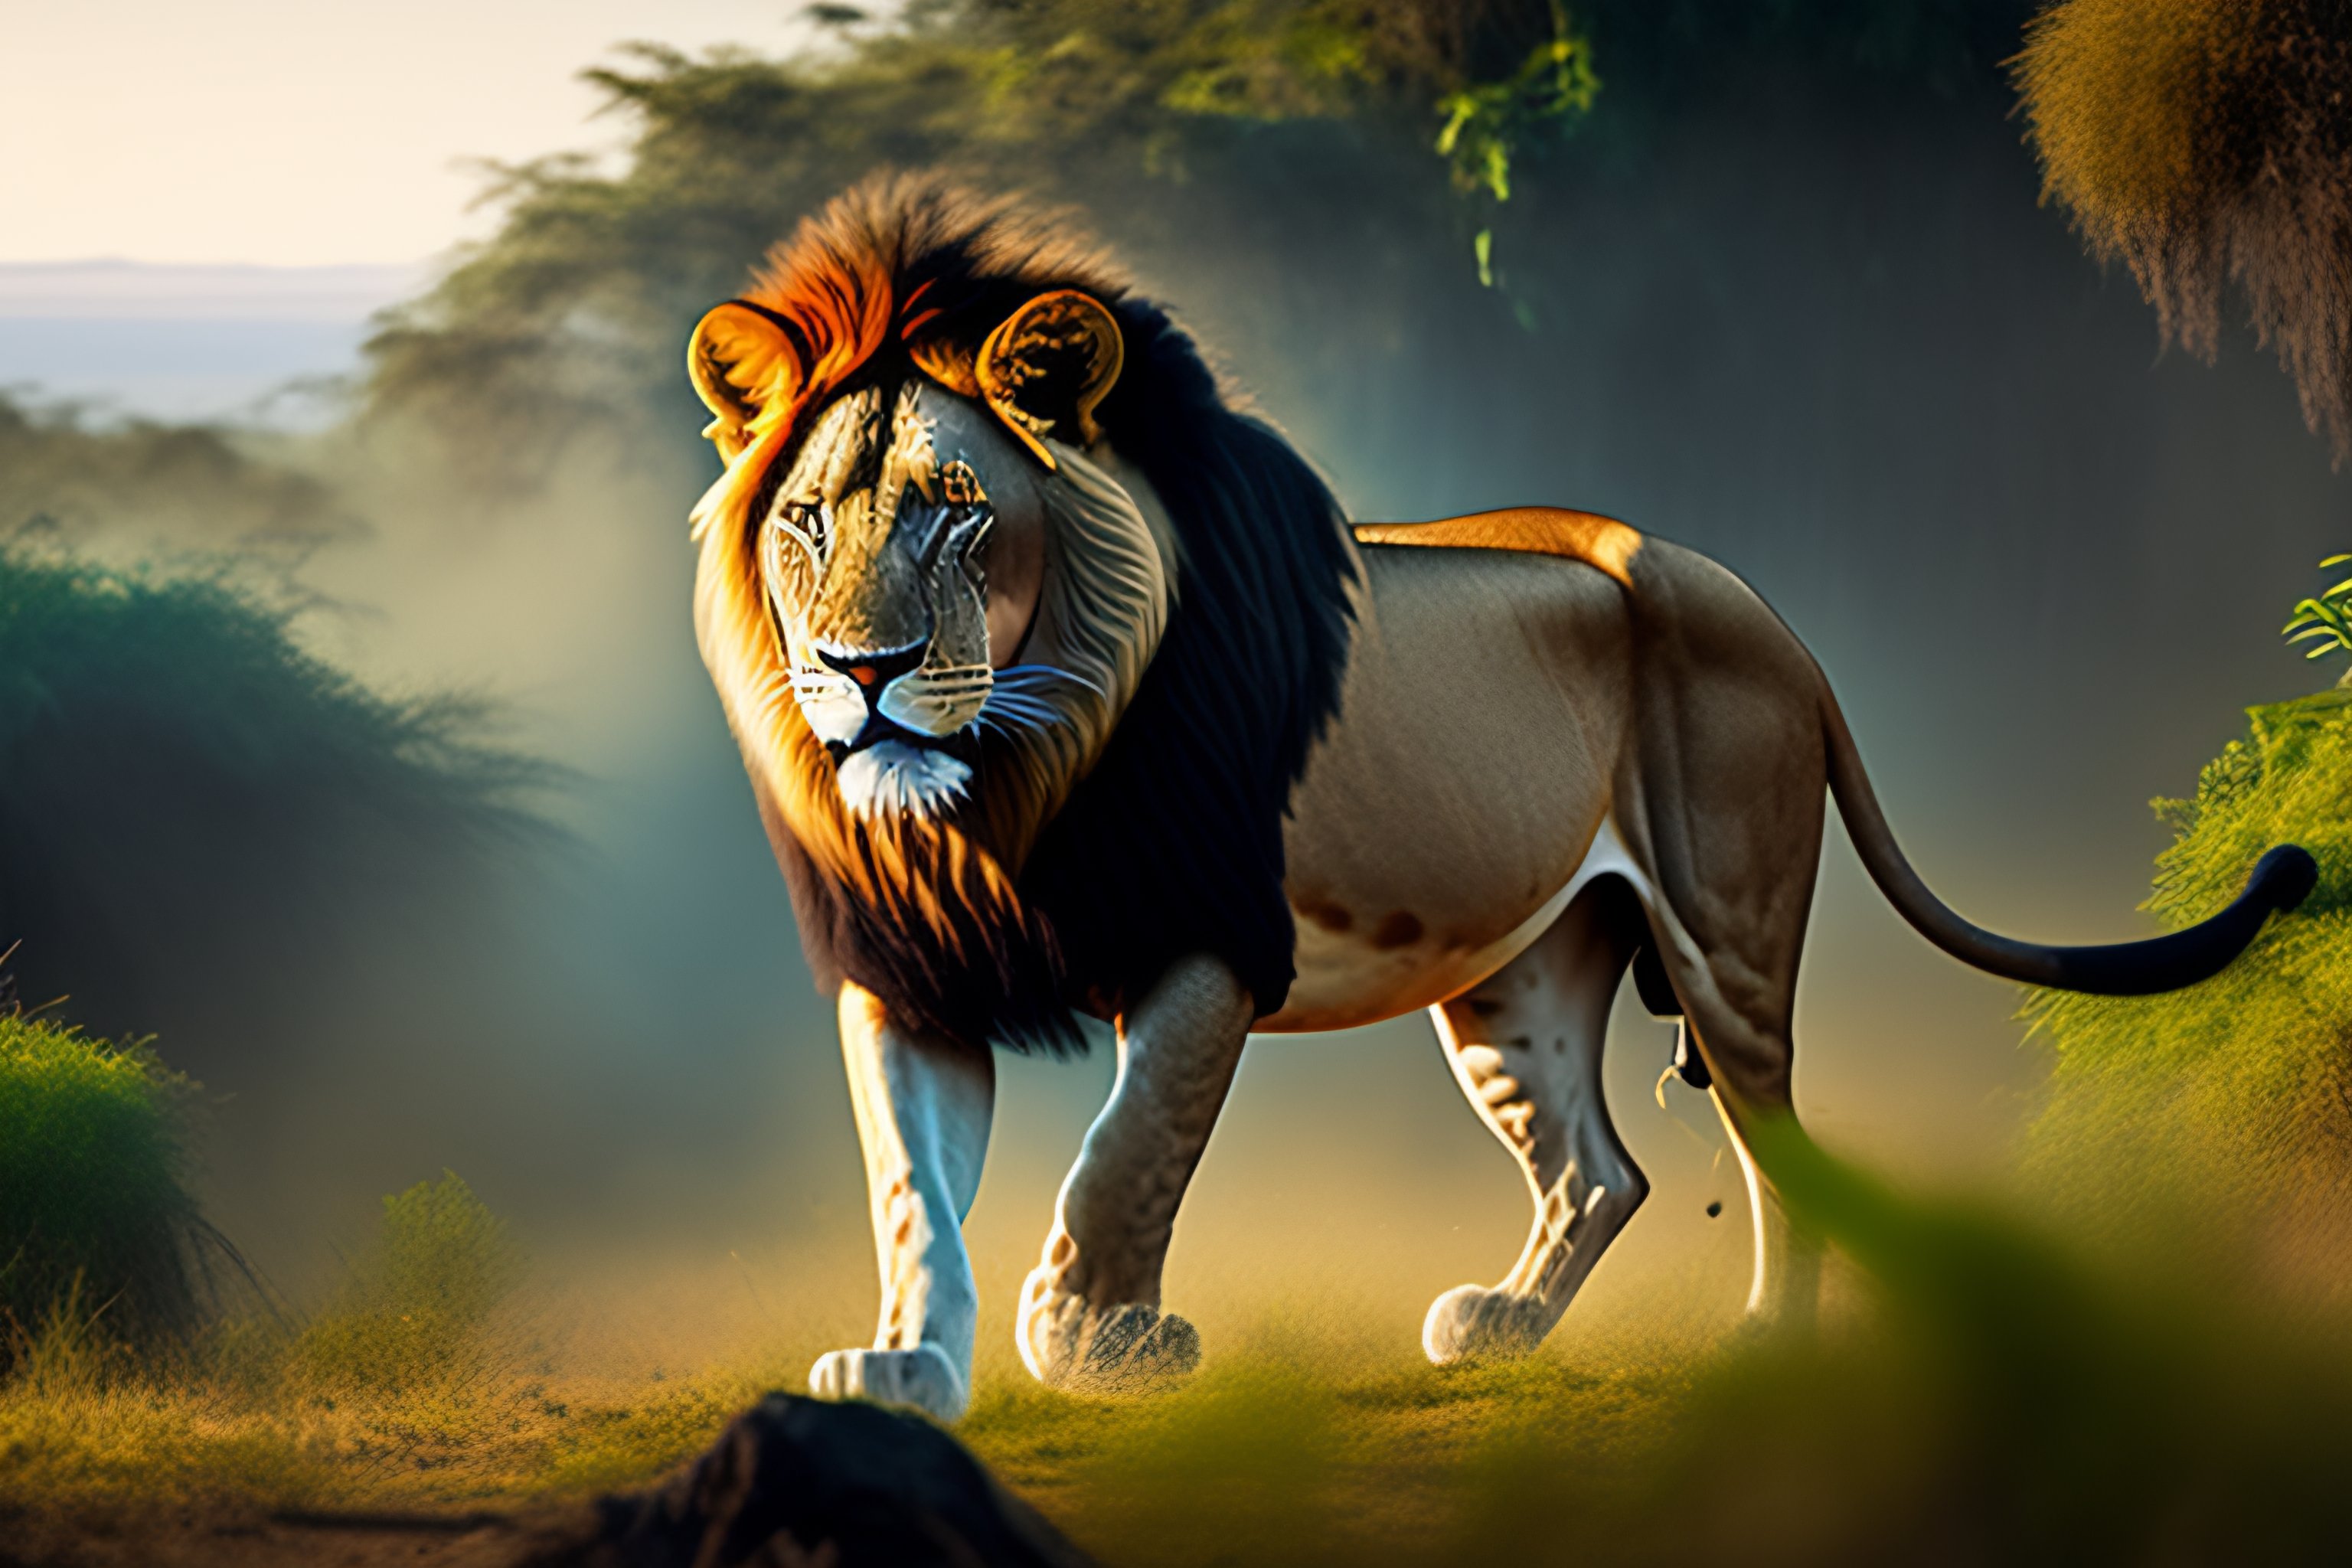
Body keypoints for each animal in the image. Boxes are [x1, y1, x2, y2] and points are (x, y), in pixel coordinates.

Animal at [684, 173, 2316, 1422]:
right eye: (807, 519)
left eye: (959, 514)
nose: (862, 669)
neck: (998, 794)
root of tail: (1762, 608)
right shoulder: (905, 978)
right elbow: (911, 1189)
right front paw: (906, 1364)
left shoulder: (1213, 941)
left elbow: (1125, 1154)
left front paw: (1095, 1338)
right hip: (1518, 977)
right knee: (1600, 1170)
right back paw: (1500, 1326)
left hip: (1725, 934)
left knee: (1780, 1153)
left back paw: (1765, 1349)